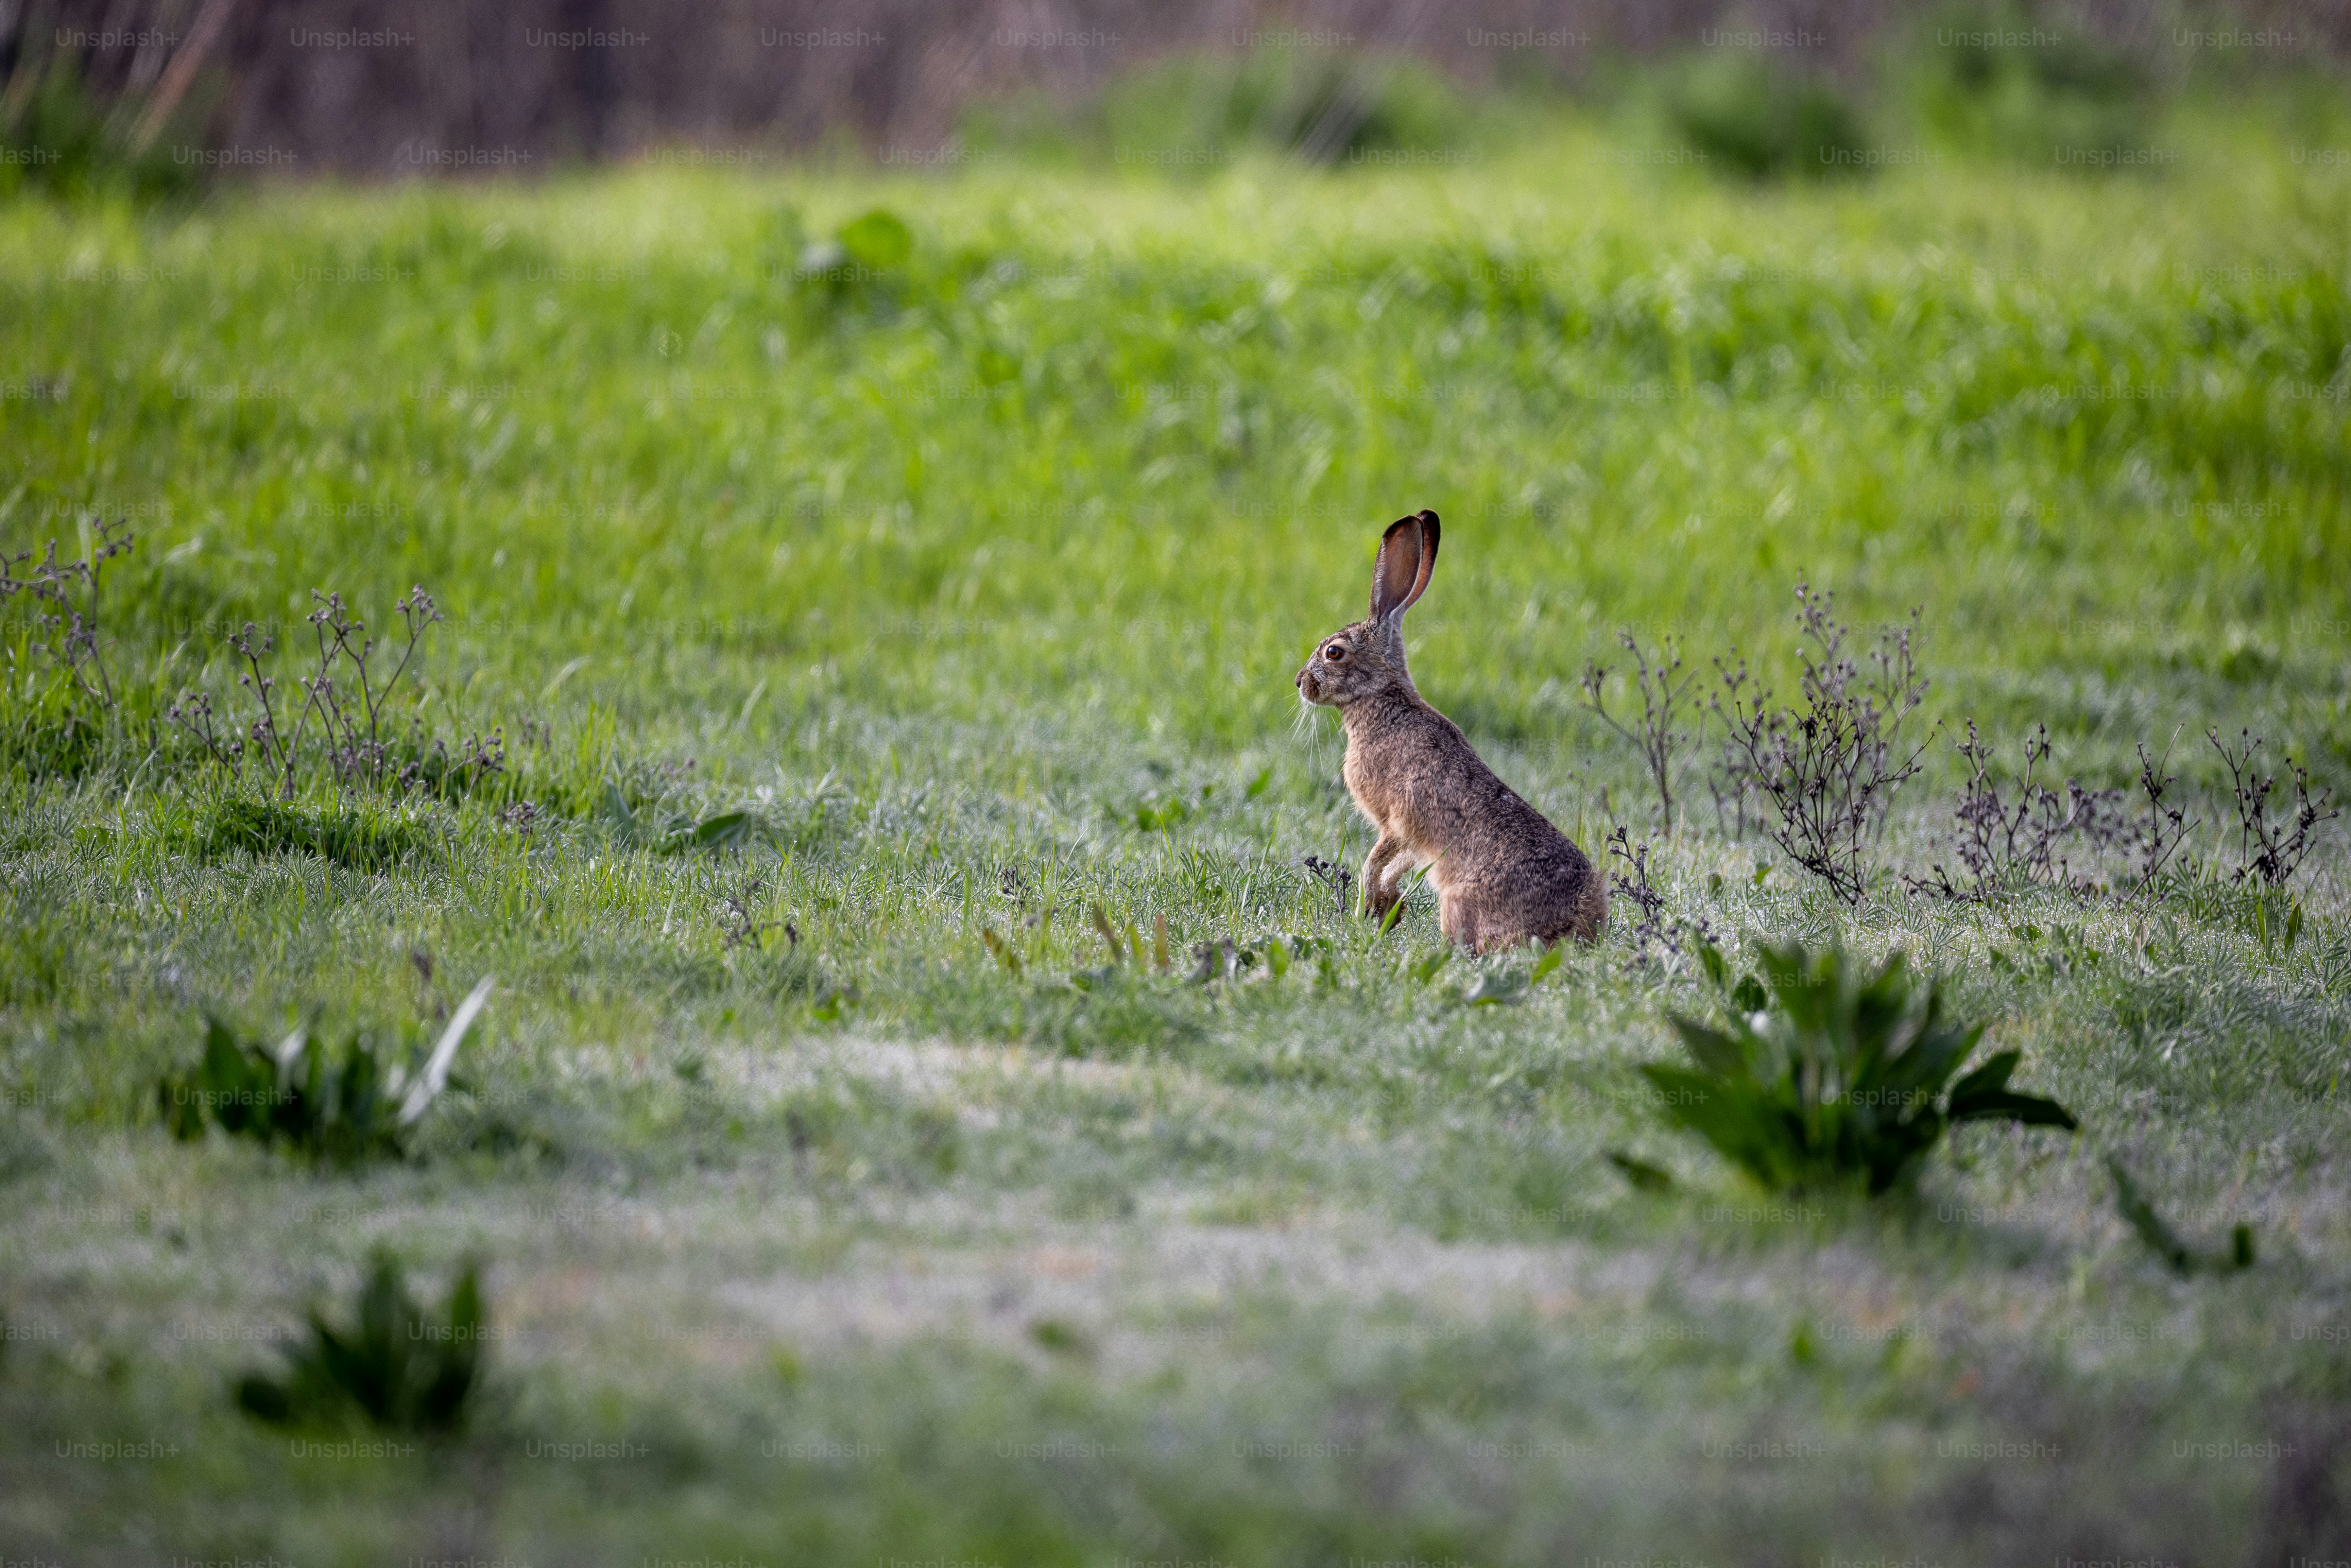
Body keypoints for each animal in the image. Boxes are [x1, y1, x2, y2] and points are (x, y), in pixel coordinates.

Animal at [1294, 510, 1606, 950]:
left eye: (1333, 652)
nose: (1299, 683)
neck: (1383, 698)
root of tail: (1578, 918)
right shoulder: (1409, 837)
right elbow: (1400, 862)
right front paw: (1388, 904)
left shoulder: (1395, 820)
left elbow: (1376, 859)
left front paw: (1368, 904)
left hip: (1457, 902)